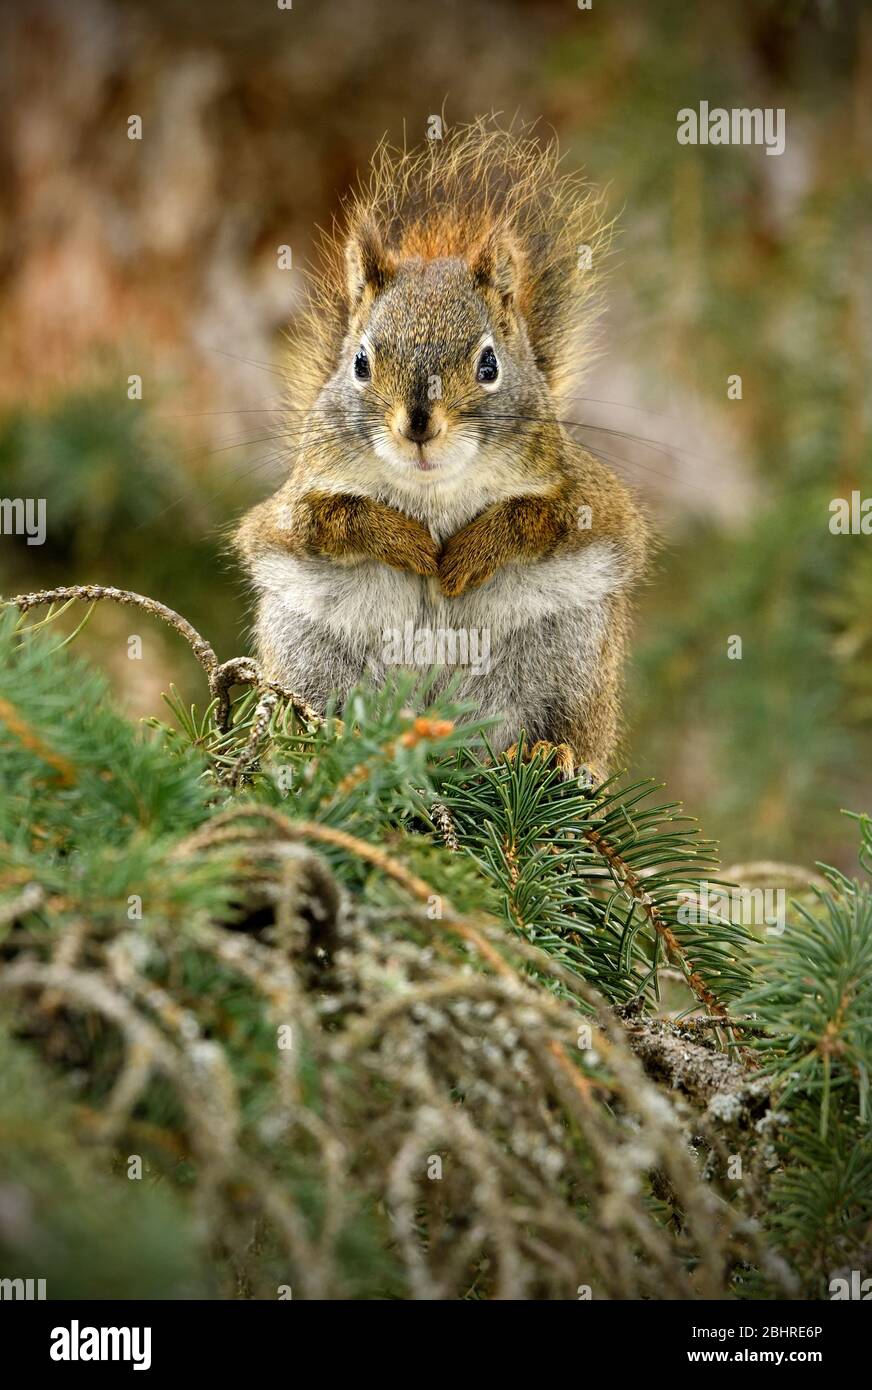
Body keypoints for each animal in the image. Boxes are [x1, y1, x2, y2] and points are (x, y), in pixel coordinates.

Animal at [234, 119, 648, 783]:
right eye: (359, 362)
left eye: (489, 364)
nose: (419, 426)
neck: (433, 491)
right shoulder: (291, 509)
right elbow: (335, 517)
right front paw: (406, 543)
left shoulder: (585, 498)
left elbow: (536, 517)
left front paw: (468, 553)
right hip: (308, 654)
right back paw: (322, 746)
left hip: (573, 659)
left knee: (567, 725)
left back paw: (555, 755)